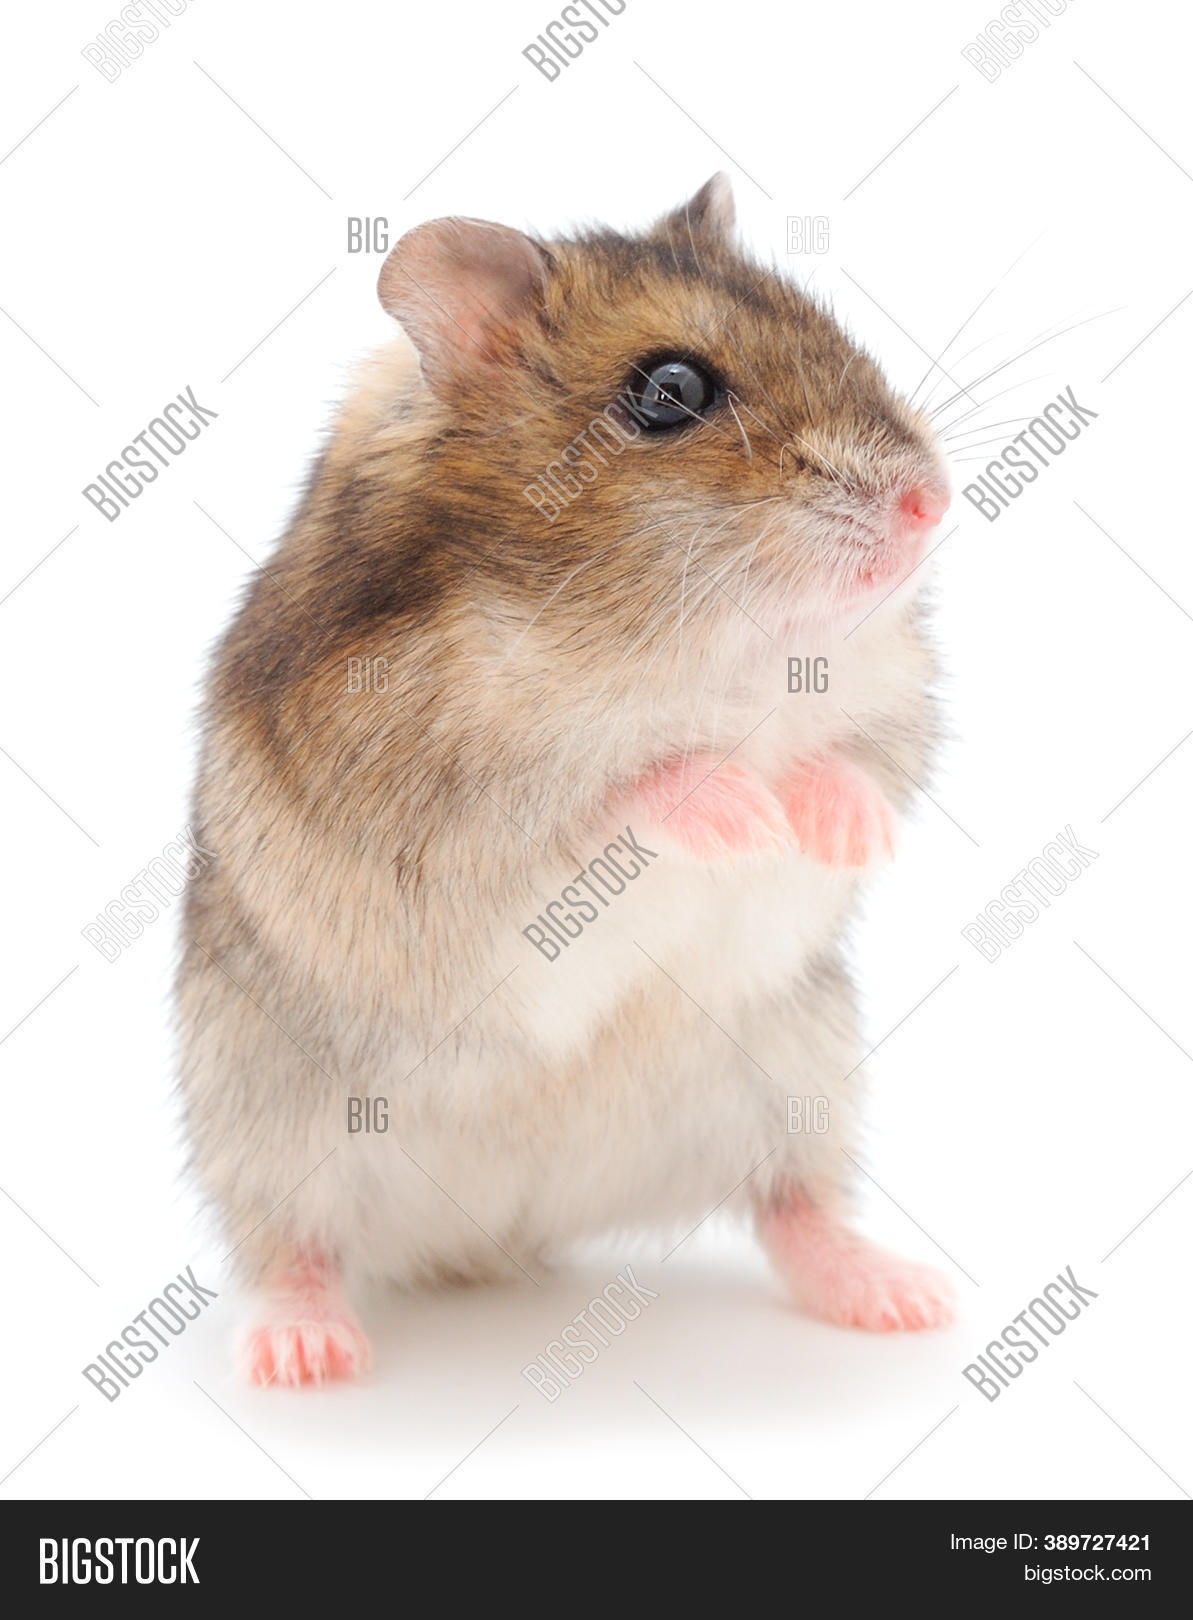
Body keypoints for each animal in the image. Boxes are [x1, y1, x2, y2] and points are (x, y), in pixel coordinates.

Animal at [178, 174, 954, 1386]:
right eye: (670, 391)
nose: (934, 502)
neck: (683, 645)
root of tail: (494, 1234)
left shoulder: (891, 700)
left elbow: (859, 761)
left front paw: (834, 826)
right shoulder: (437, 793)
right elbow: (611, 797)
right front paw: (740, 808)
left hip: (796, 1081)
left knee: (792, 1207)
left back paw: (904, 1297)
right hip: (263, 1115)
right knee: (288, 1246)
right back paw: (305, 1355)